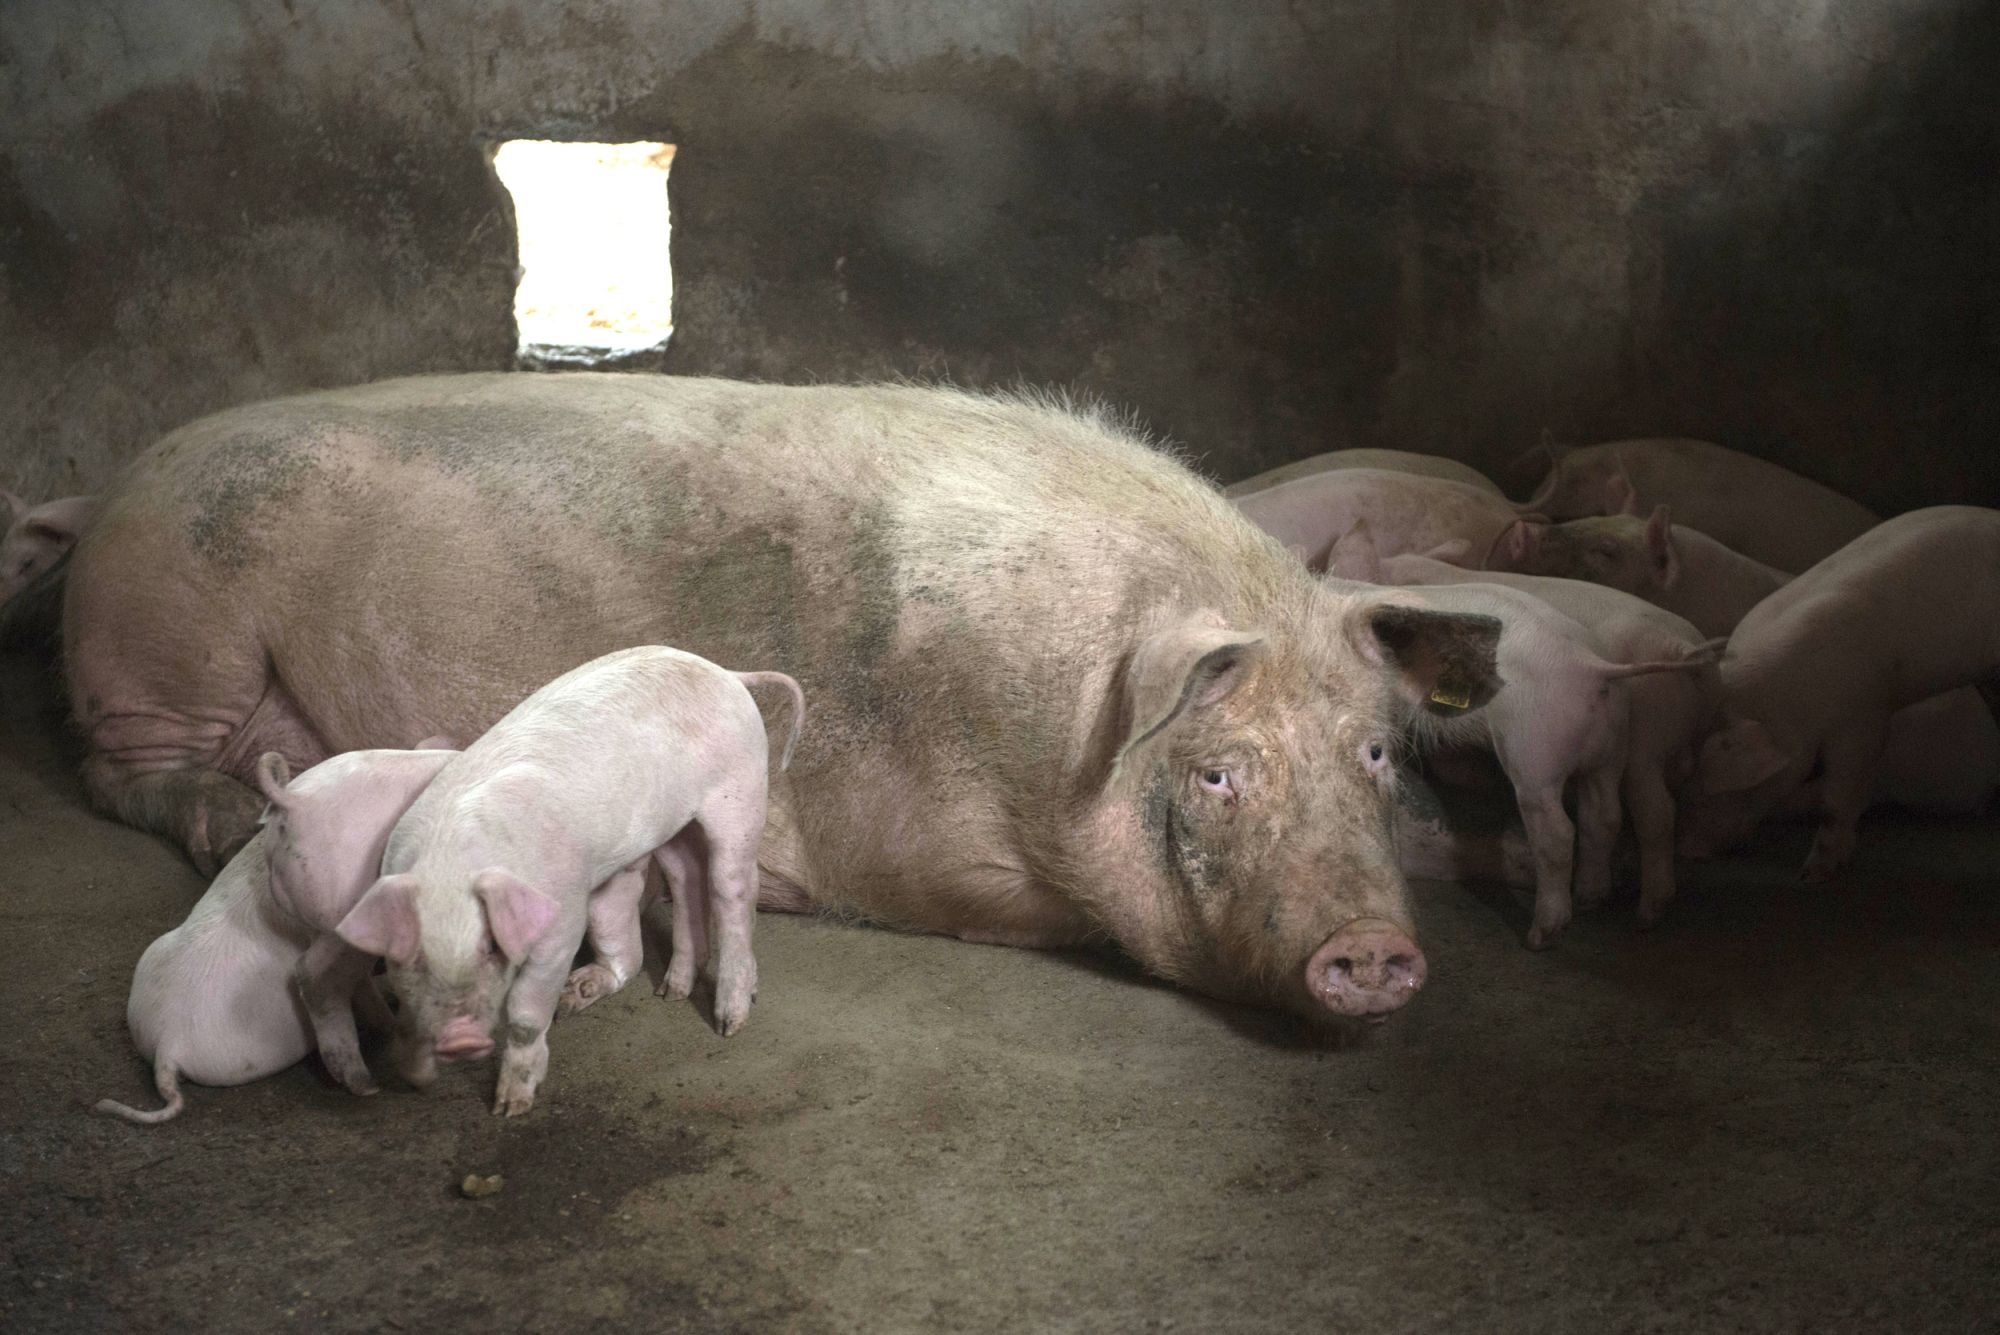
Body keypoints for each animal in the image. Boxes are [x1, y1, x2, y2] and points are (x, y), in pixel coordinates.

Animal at [335, 647, 806, 1116]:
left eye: (489, 947)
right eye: (409, 958)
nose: (458, 1039)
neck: (451, 867)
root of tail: (727, 673)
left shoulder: (561, 923)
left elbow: (526, 1014)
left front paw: (510, 1106)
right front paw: (416, 1077)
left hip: (741, 793)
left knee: (733, 889)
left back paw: (729, 1021)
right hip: (670, 828)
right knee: (678, 885)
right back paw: (659, 992)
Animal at [1325, 555, 1717, 946]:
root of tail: (1592, 665)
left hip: (1546, 749)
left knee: (1575, 828)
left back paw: (1547, 933)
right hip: (1611, 748)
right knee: (1605, 815)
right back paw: (1593, 901)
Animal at [1679, 507, 2000, 881]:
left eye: (1706, 790)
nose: (1688, 851)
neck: (1787, 699)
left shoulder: (1864, 713)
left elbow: (1842, 792)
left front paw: (1811, 874)